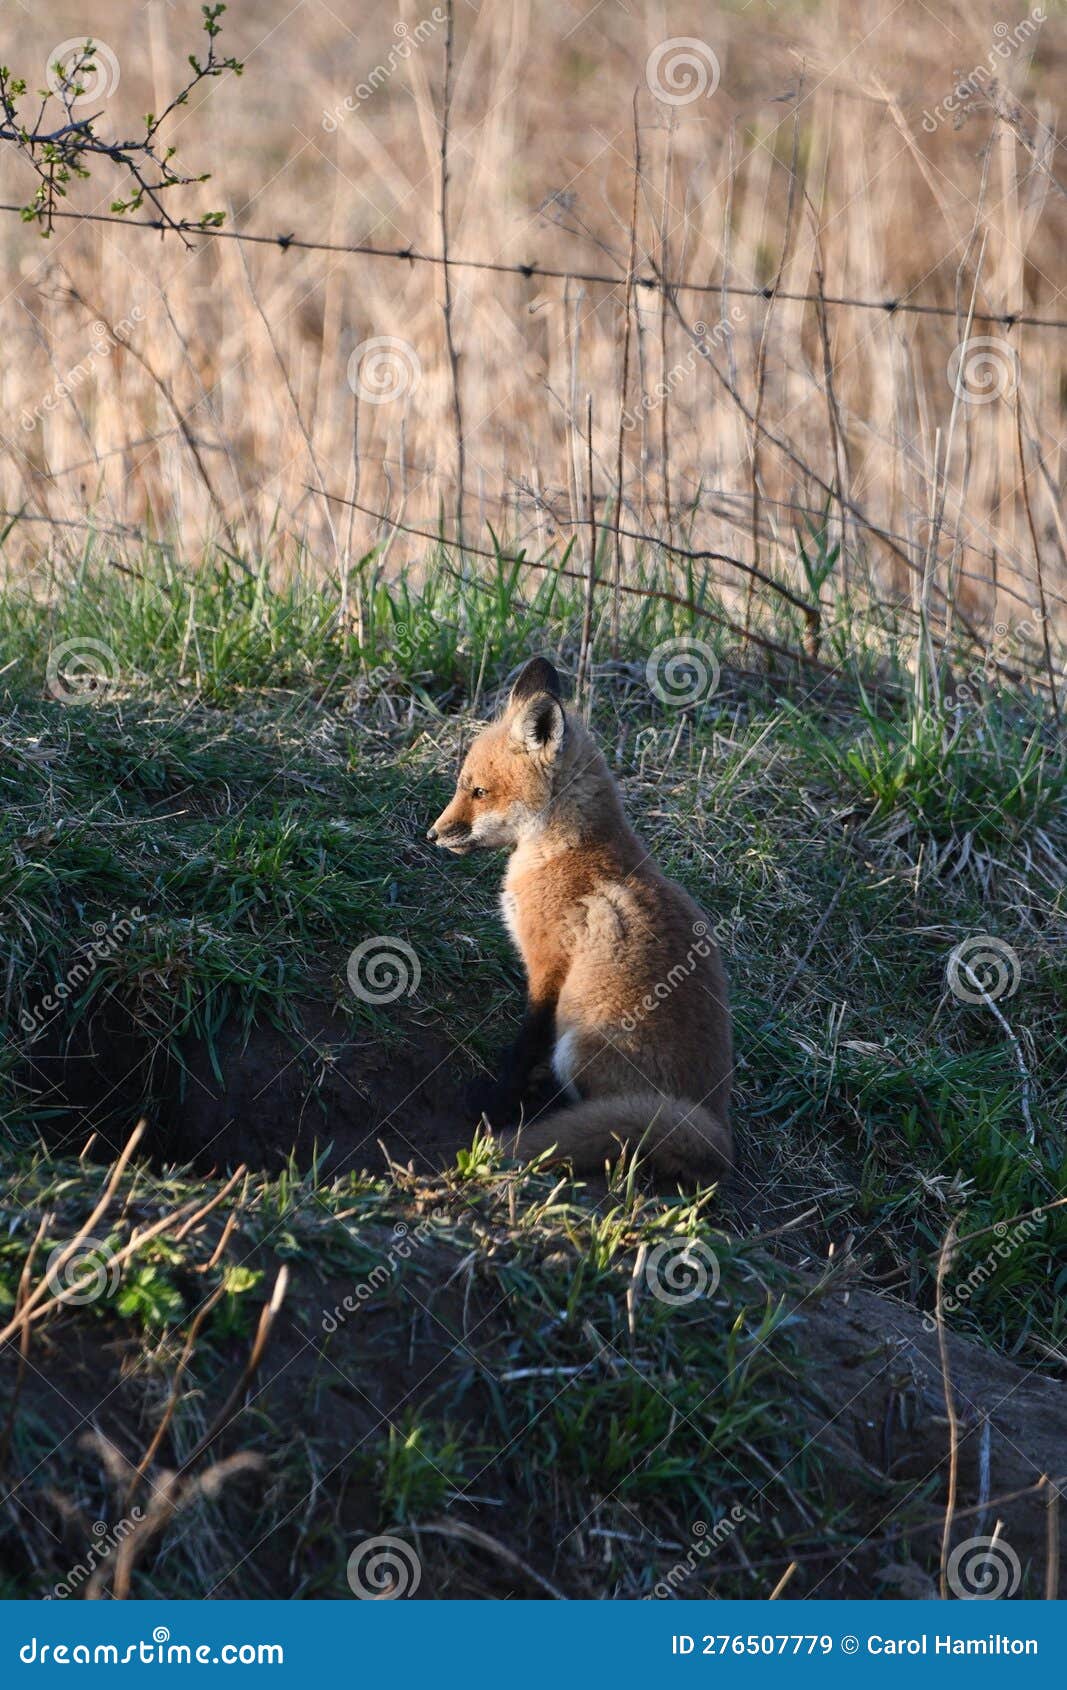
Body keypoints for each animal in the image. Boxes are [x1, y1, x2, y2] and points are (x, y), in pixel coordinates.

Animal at [427, 656, 734, 1181]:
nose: (433, 834)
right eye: (465, 787)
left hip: (577, 1041)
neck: (565, 850)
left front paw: (497, 1100)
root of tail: (712, 1133)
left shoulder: (549, 964)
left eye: (479, 791)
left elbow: (526, 1042)